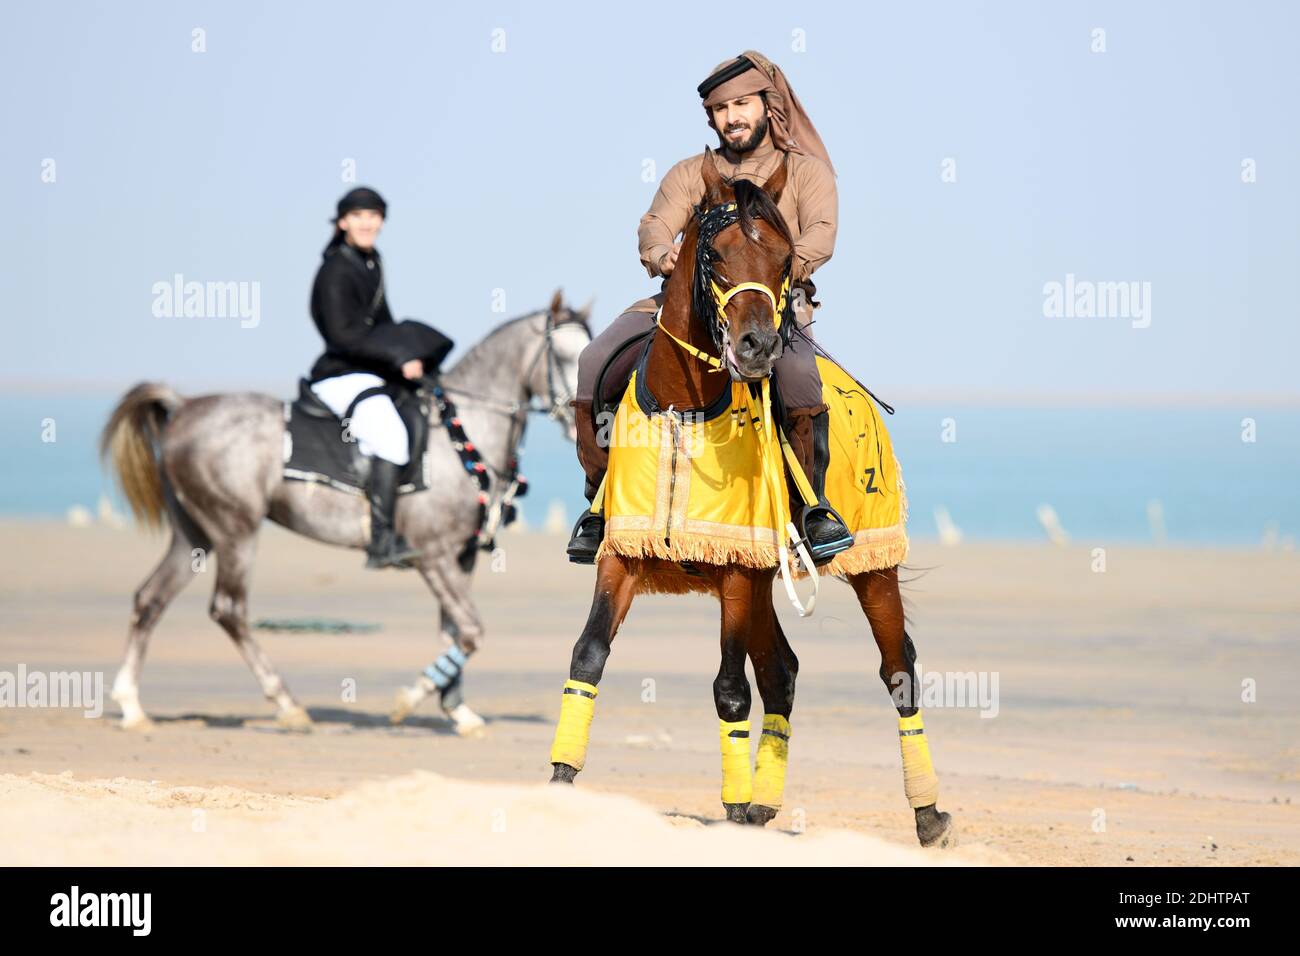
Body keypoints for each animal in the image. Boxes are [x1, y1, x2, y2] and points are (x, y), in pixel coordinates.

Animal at [100, 291, 591, 736]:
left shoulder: (461, 558)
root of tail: (185, 407)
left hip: (195, 537)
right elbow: (471, 631)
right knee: (229, 610)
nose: (586, 420)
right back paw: (288, 705)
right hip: (235, 531)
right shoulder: (431, 556)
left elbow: (453, 631)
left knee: (150, 599)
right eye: (567, 355)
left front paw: (458, 710)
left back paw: (132, 707)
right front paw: (413, 698)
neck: (462, 432)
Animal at [547, 156, 954, 846]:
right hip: (766, 580)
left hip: (870, 567)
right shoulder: (624, 556)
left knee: (897, 667)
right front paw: (558, 784)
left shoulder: (738, 565)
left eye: (785, 258)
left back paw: (927, 815)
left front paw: (733, 809)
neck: (685, 406)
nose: (759, 346)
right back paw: (766, 802)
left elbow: (730, 687)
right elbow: (588, 655)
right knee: (782, 671)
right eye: (714, 253)